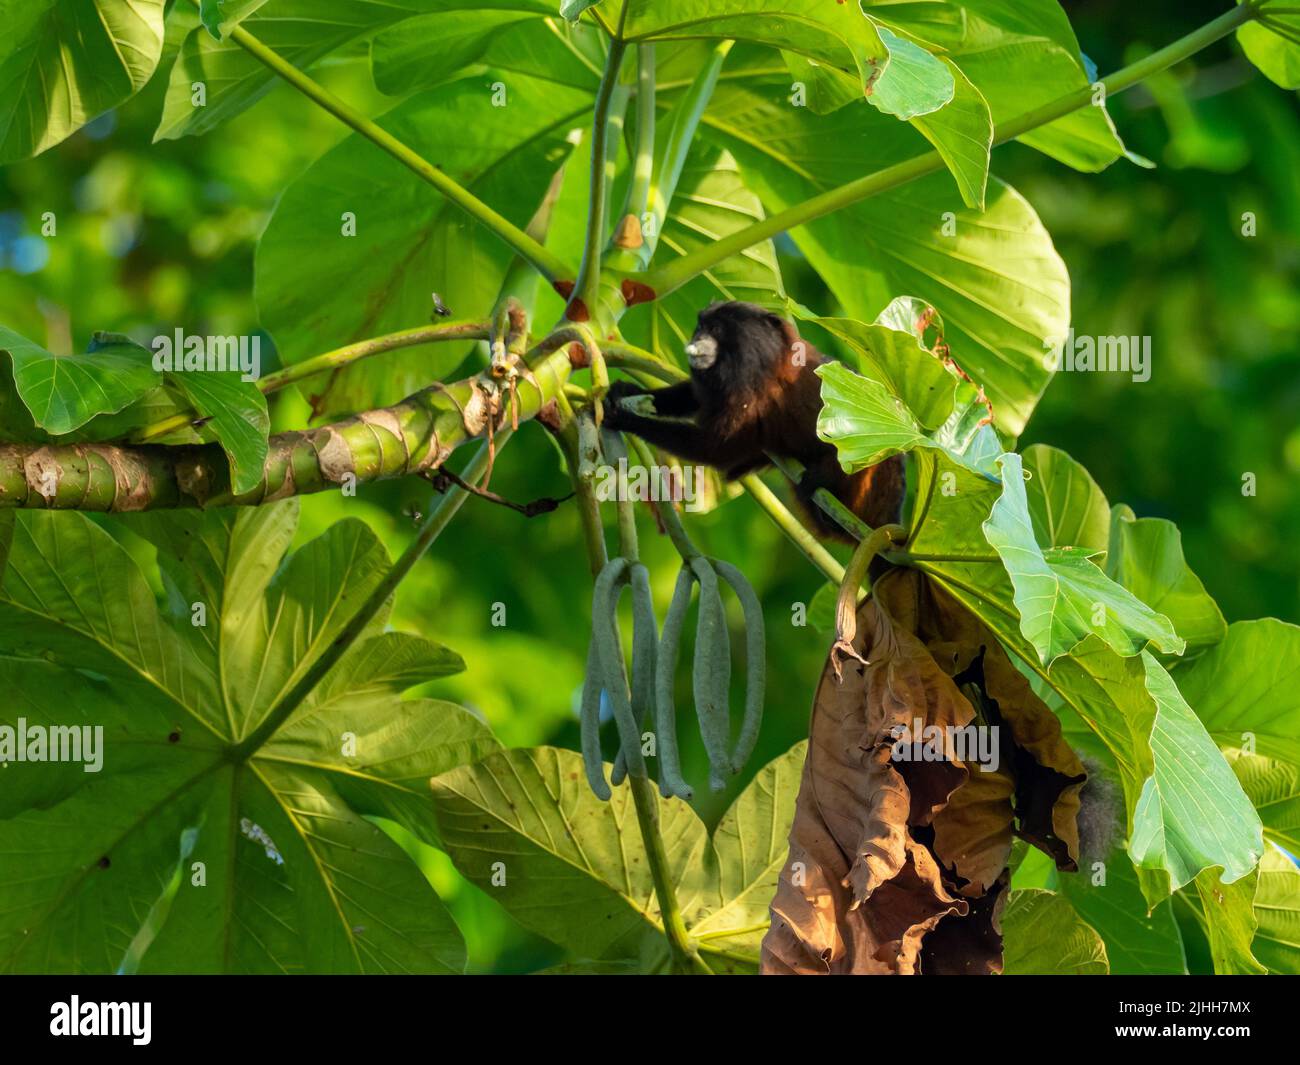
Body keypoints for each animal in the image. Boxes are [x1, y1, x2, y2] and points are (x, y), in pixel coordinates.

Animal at [602, 301, 905, 541]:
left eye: (715, 330)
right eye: (699, 327)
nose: (694, 343)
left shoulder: (752, 398)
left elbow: (714, 449)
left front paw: (626, 419)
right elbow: (694, 397)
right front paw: (627, 391)